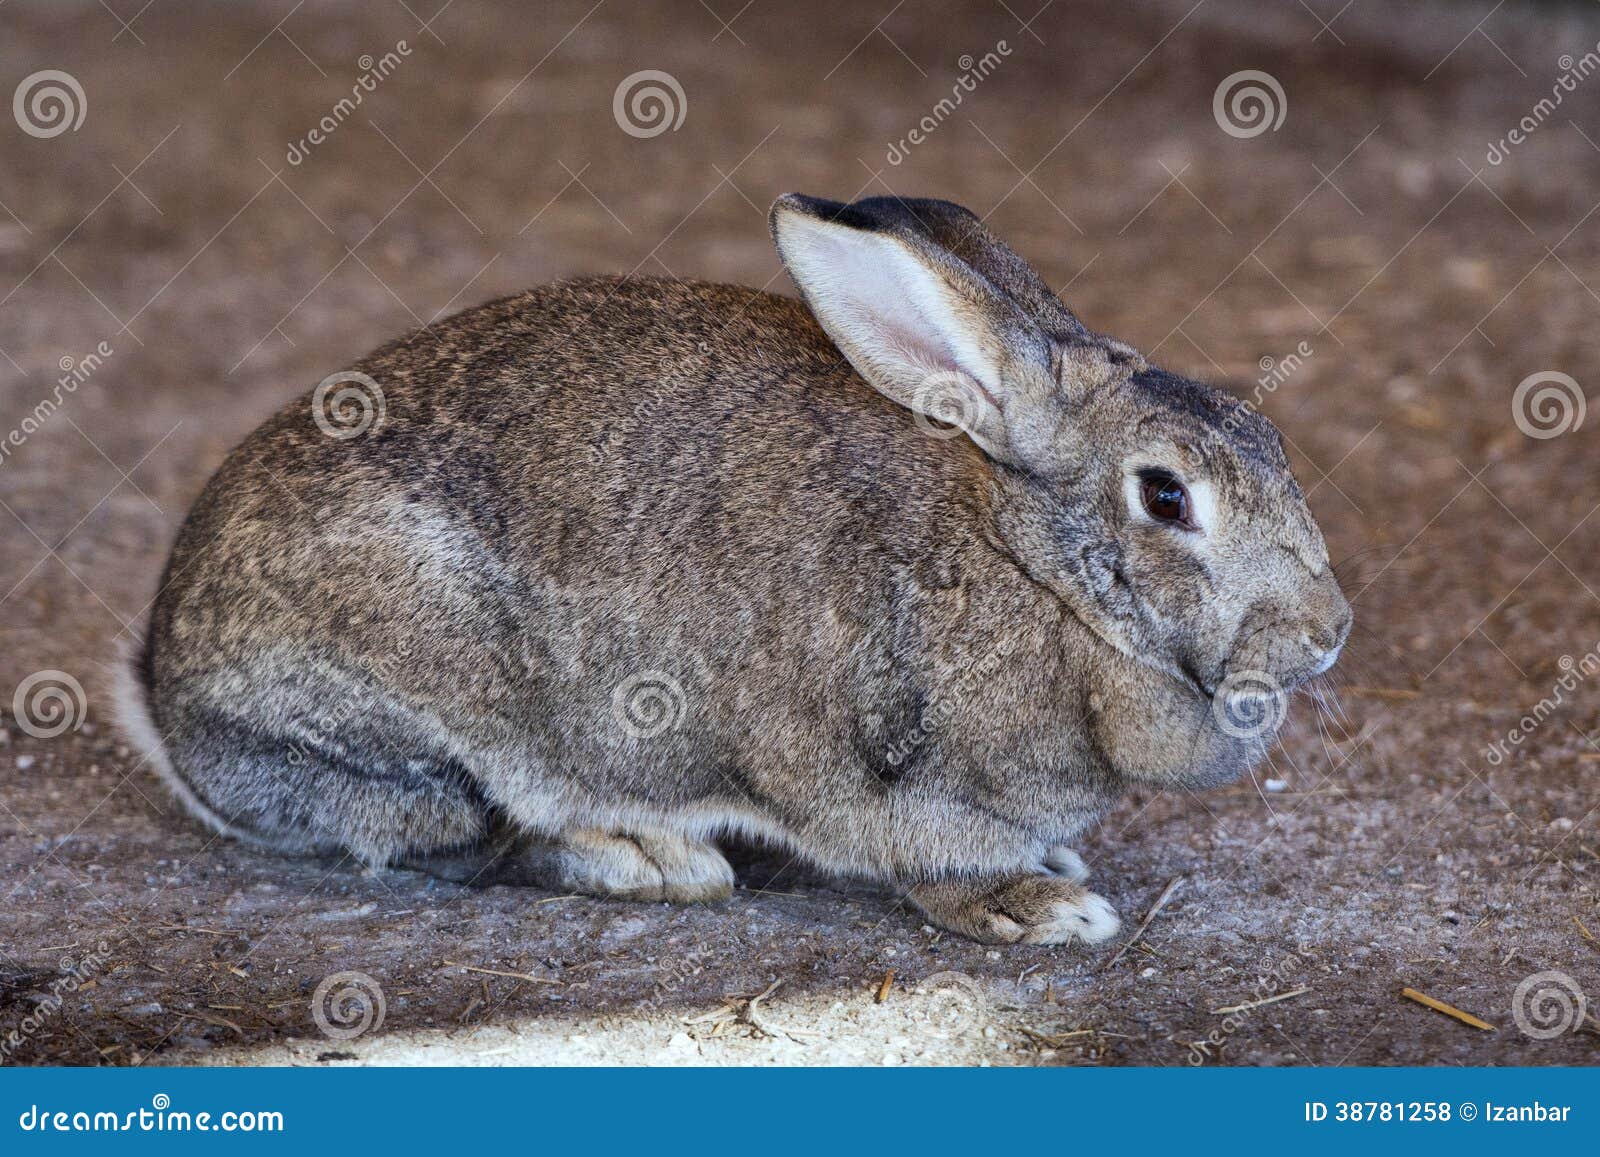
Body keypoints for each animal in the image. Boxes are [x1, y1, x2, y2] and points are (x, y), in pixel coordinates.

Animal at [115, 193, 1350, 946]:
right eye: (1166, 498)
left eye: (1272, 443)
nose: (1326, 630)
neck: (1039, 573)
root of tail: (161, 693)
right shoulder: (888, 770)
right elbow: (934, 861)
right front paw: (1045, 908)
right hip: (419, 714)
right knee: (474, 837)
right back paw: (649, 859)